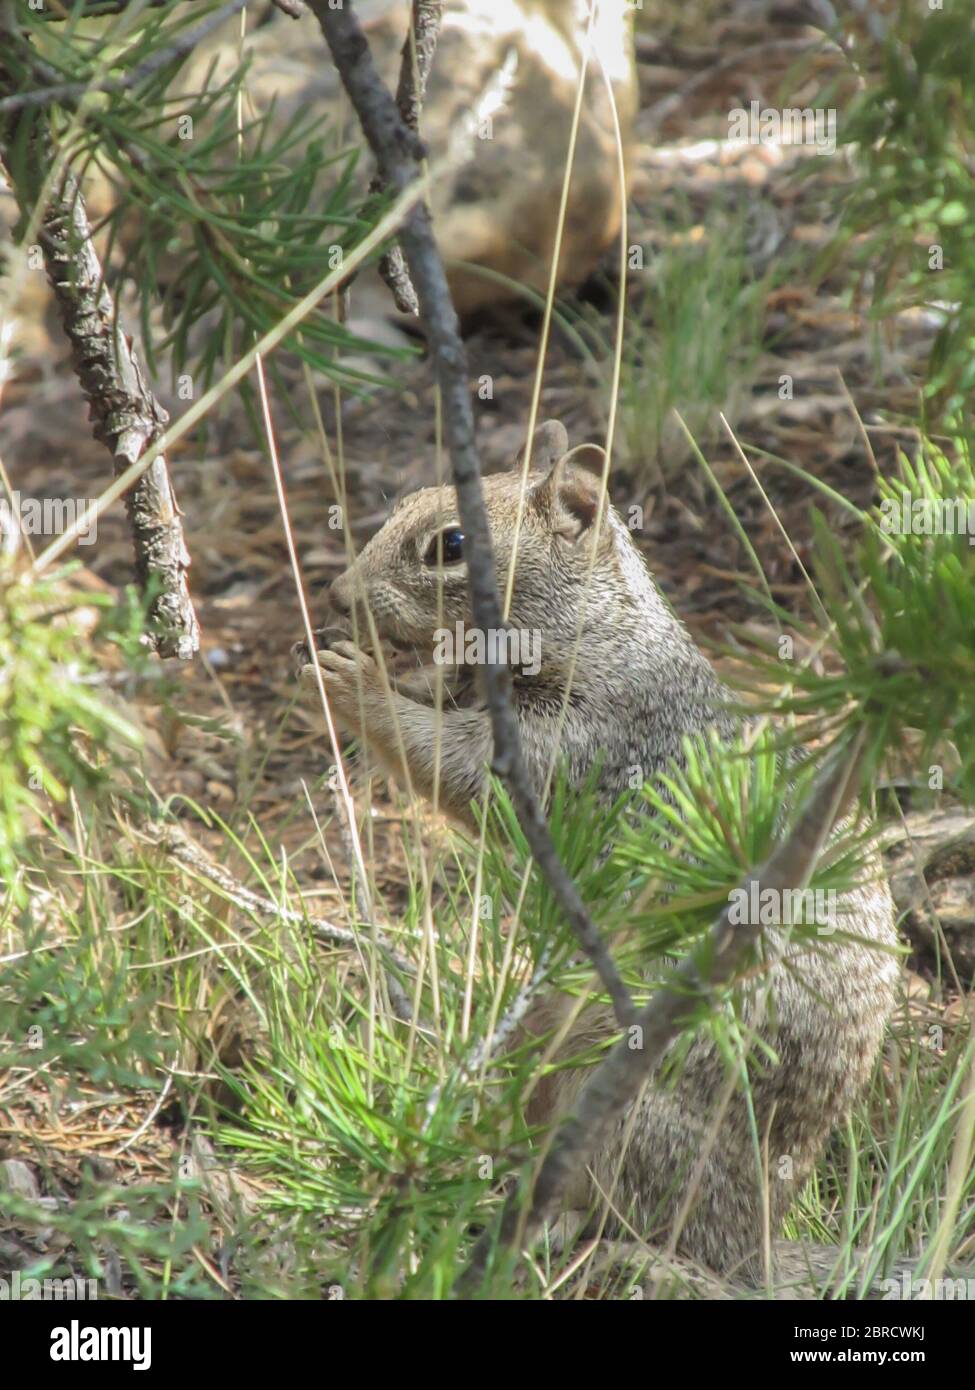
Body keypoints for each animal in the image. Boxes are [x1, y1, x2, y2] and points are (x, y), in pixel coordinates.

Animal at [295, 419, 899, 1283]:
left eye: (450, 544)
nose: (338, 597)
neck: (601, 635)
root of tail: (752, 1239)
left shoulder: (573, 746)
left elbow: (454, 764)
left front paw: (355, 682)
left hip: (630, 1097)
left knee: (636, 1218)